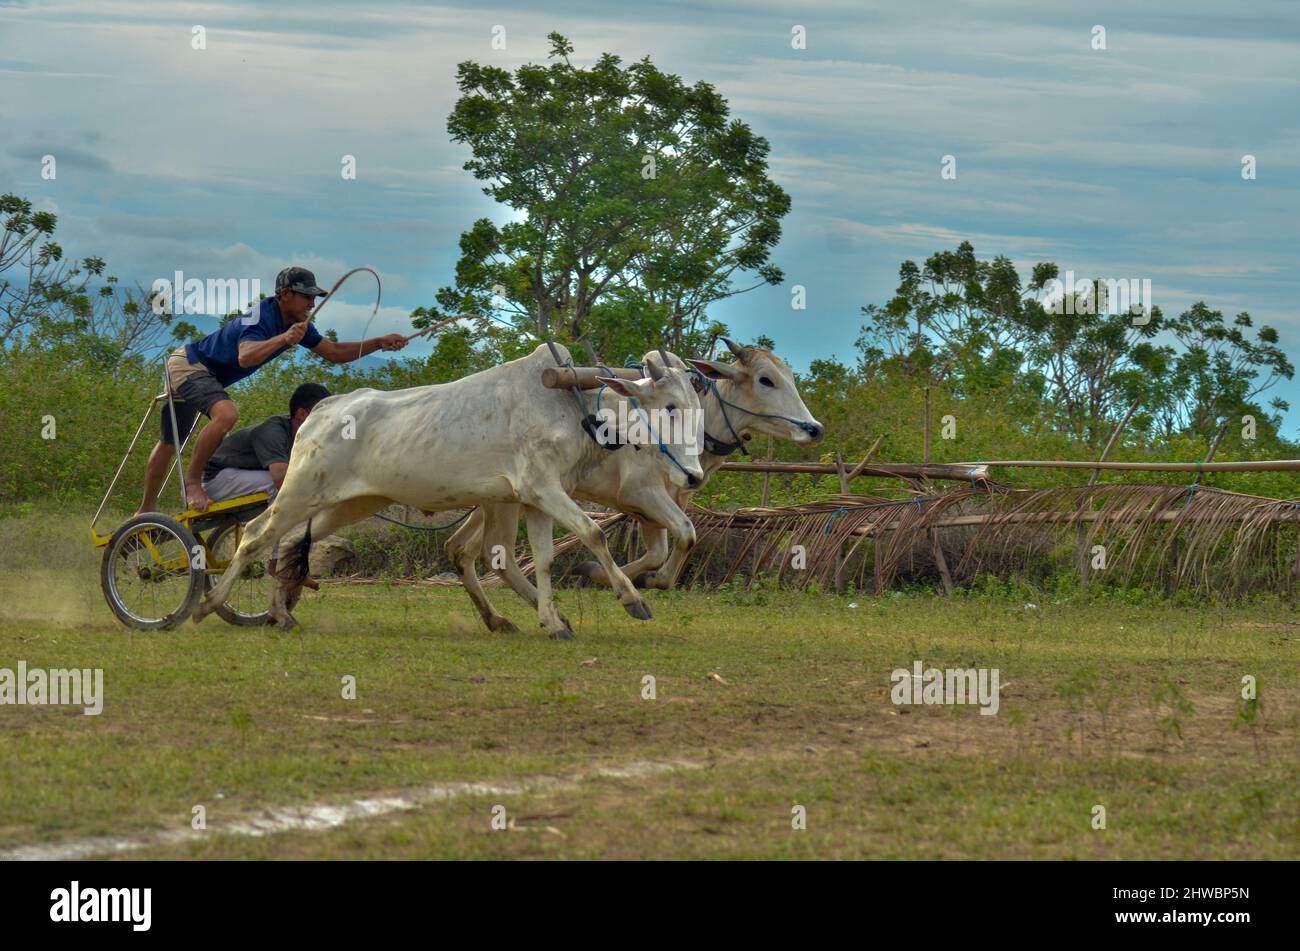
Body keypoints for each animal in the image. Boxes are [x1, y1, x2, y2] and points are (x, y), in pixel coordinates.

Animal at [192, 343, 705, 639]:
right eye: (670, 406)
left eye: (697, 404)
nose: (696, 476)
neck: (572, 403)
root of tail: (324, 408)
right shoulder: (542, 489)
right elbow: (593, 536)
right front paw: (632, 598)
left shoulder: (537, 498)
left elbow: (542, 558)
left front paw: (553, 620)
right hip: (298, 490)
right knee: (256, 535)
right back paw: (208, 606)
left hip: (349, 503)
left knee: (290, 546)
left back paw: (280, 613)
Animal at [447, 339, 823, 632]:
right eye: (766, 380)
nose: (814, 428)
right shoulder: (641, 494)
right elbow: (685, 536)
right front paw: (622, 583)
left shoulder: (657, 507)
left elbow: (664, 551)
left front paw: (624, 578)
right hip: (508, 499)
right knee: (490, 553)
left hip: (496, 498)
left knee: (461, 548)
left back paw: (499, 619)